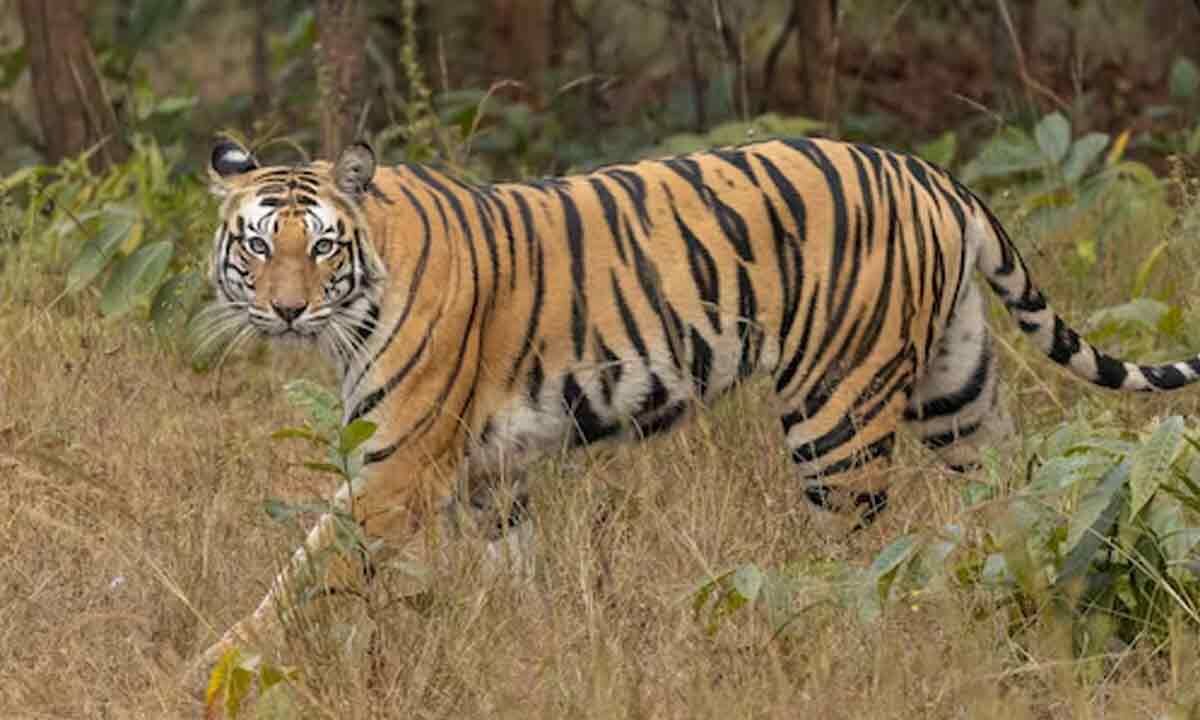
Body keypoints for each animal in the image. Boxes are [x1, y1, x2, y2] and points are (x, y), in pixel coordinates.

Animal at [193, 135, 1200, 677]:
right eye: (258, 243)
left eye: (322, 247)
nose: (287, 309)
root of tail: (925, 171)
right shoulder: (490, 474)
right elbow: (518, 574)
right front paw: (541, 646)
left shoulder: (397, 465)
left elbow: (302, 573)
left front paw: (215, 664)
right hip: (956, 393)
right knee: (1021, 501)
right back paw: (1034, 604)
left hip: (837, 414)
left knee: (867, 557)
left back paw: (845, 644)